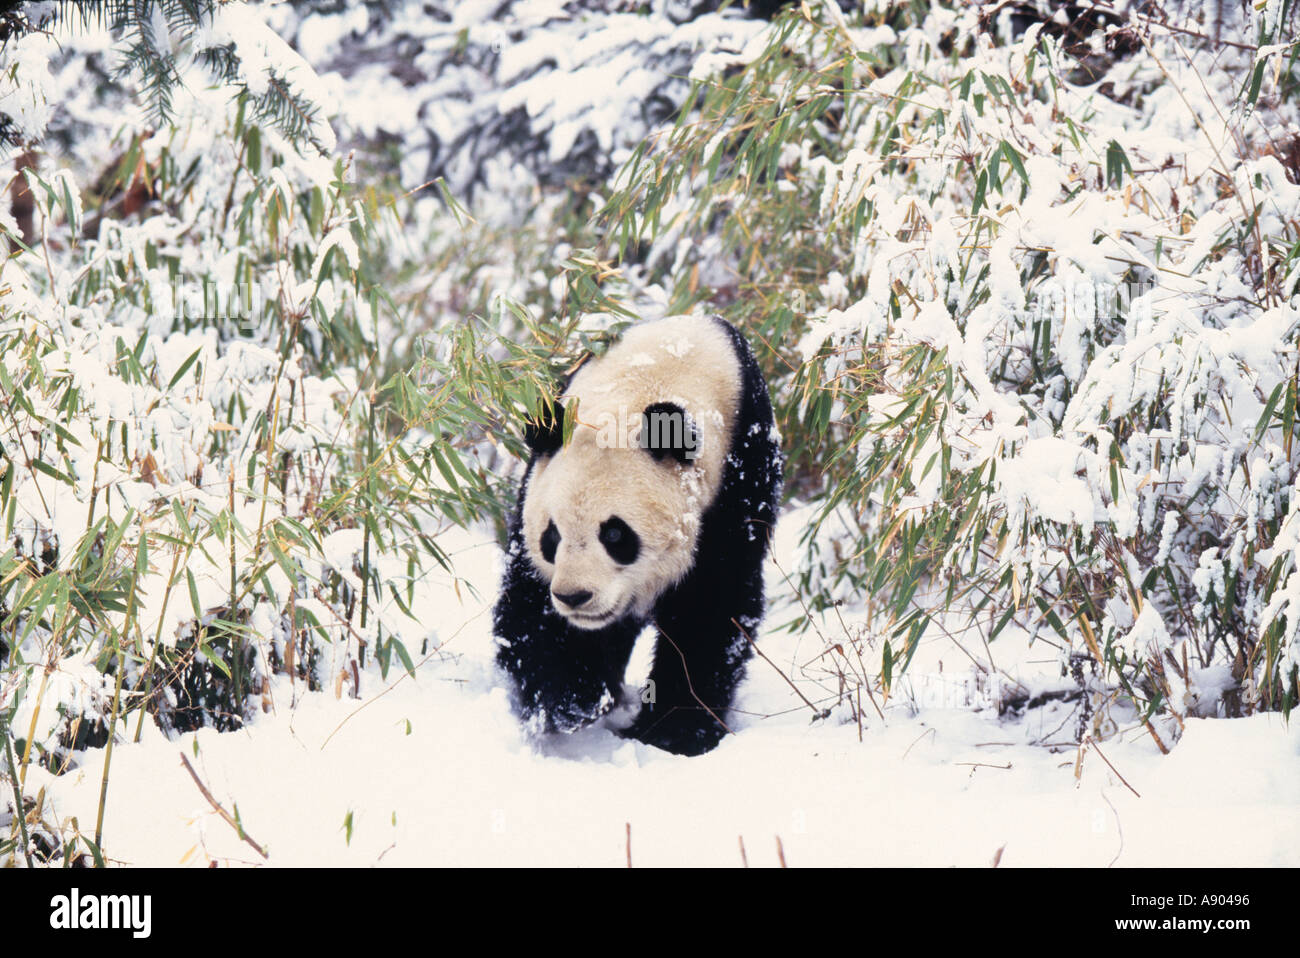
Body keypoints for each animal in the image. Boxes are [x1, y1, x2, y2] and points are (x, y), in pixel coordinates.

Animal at [492, 314, 783, 756]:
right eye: (551, 536)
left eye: (615, 535)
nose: (574, 597)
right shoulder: (538, 475)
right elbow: (531, 608)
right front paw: (570, 700)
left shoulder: (736, 480)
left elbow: (711, 611)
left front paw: (671, 733)